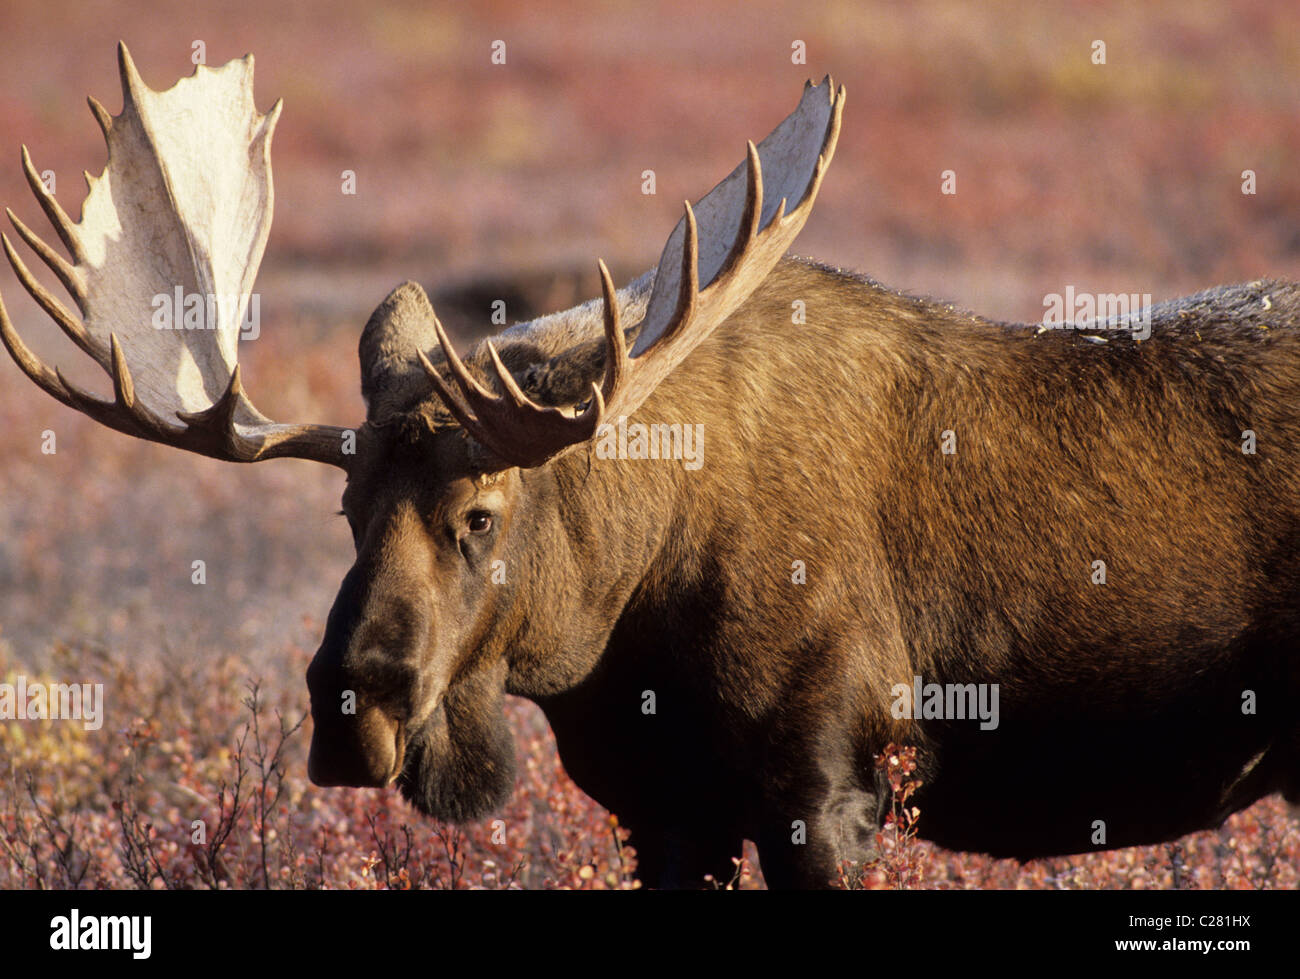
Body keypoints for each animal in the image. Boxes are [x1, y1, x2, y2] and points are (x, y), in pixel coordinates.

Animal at [2, 45, 1298, 889]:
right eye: (345, 510)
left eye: (481, 513)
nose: (350, 705)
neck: (623, 625)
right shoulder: (659, 807)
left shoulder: (831, 776)